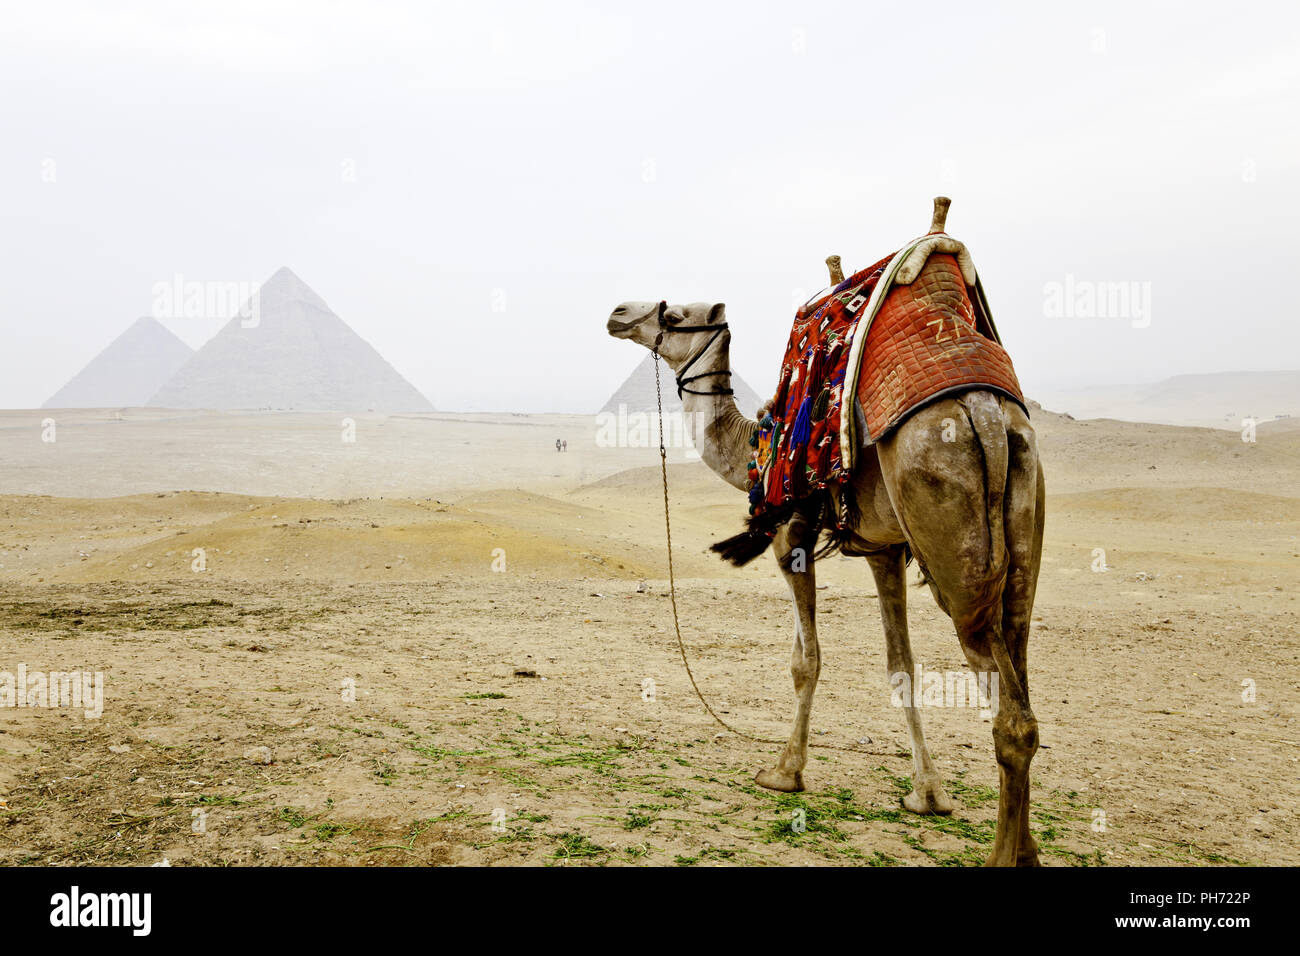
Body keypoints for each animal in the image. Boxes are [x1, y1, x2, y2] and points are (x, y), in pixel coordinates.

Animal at [605, 213, 1047, 867]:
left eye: (676, 315)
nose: (617, 312)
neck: (756, 445)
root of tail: (988, 418)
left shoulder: (791, 532)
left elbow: (804, 661)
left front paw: (784, 772)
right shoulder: (885, 549)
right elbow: (901, 667)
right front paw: (928, 794)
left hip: (954, 550)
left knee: (1008, 713)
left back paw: (1003, 856)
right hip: (1021, 519)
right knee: (1022, 683)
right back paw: (1027, 848)